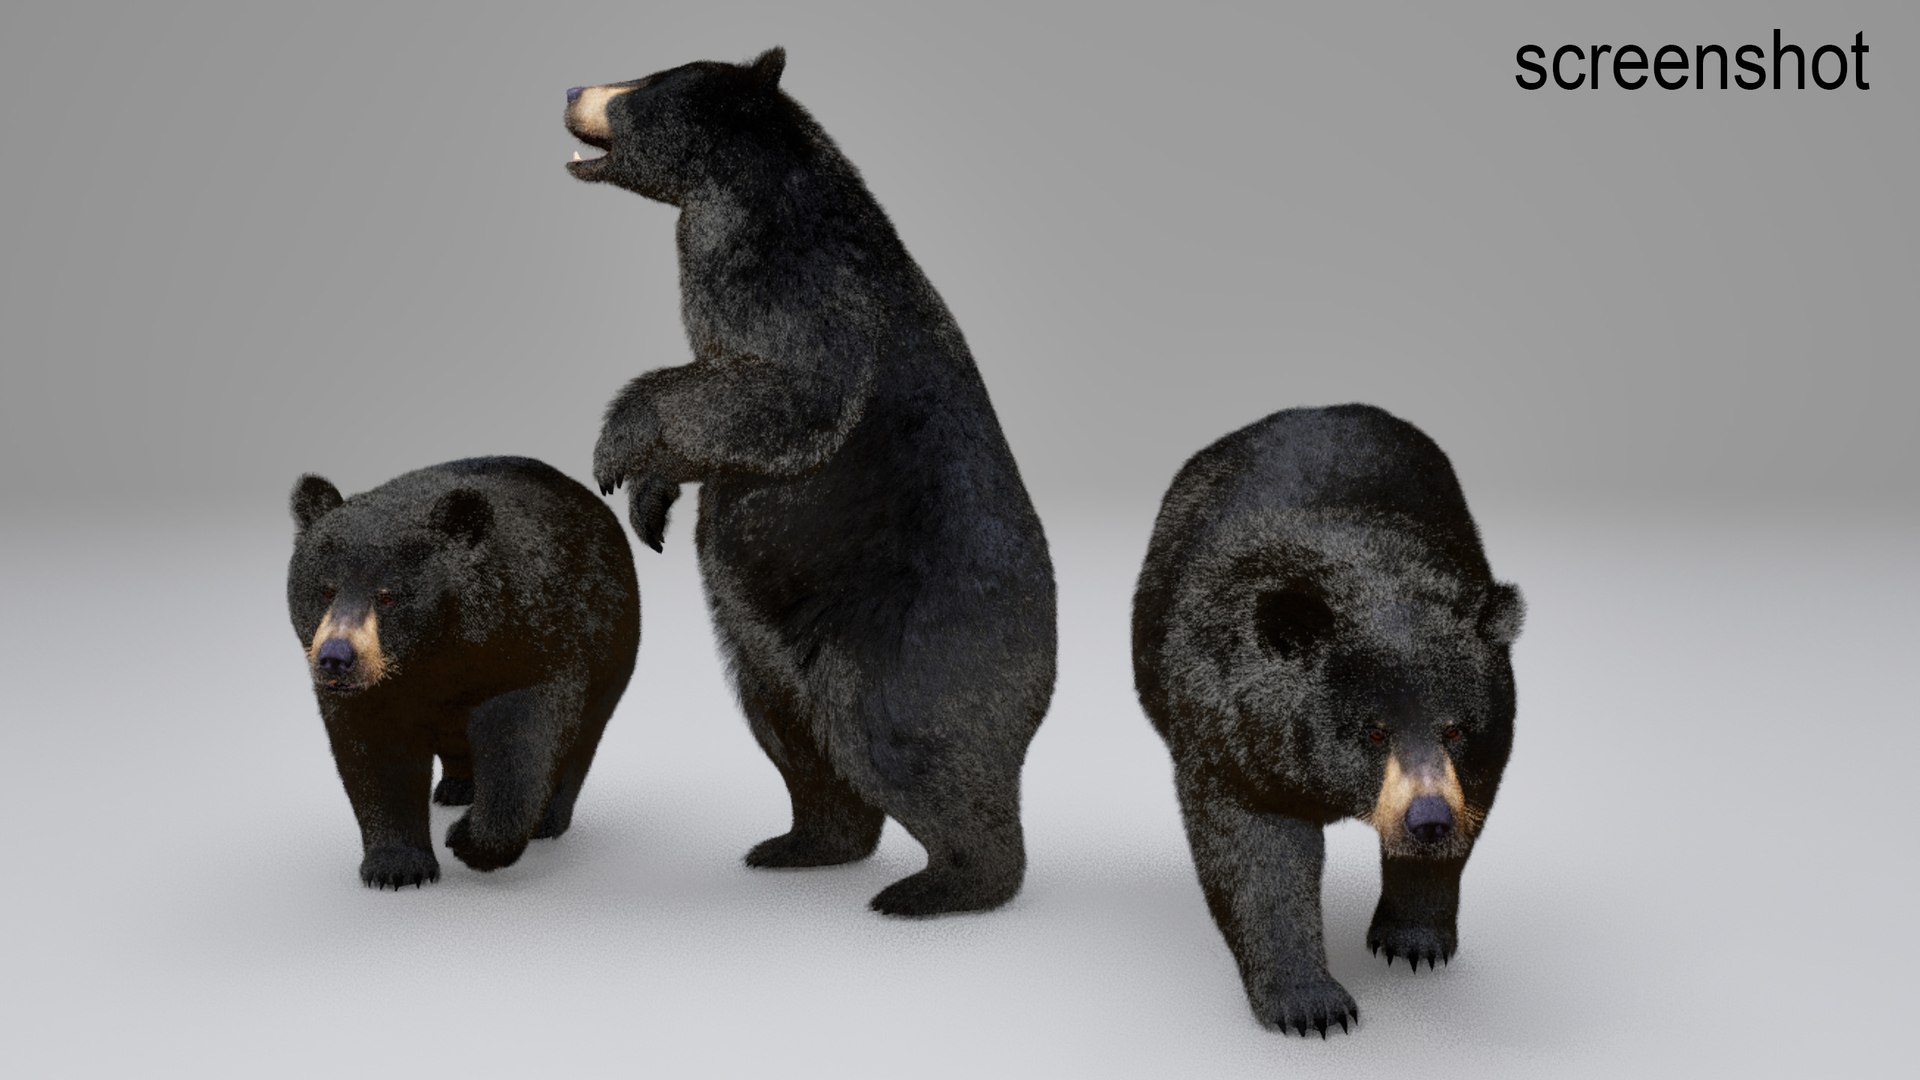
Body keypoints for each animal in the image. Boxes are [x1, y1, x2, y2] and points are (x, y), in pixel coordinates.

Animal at [286, 457, 640, 888]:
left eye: (387, 596)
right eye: (324, 590)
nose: (336, 657)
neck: (436, 653)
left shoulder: (526, 637)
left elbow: (522, 738)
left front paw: (468, 839)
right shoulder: (375, 689)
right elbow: (376, 749)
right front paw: (397, 867)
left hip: (611, 645)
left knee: (582, 737)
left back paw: (546, 820)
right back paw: (456, 786)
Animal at [563, 48, 1057, 917]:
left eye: (637, 87)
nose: (569, 91)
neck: (738, 196)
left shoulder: (805, 285)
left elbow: (788, 392)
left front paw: (618, 445)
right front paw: (651, 503)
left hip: (904, 646)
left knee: (909, 747)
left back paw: (941, 886)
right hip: (764, 656)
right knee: (796, 741)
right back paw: (802, 844)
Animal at [1131, 404, 1524, 1036]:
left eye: (1456, 729)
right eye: (1373, 731)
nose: (1429, 820)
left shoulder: (1484, 759)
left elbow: (1470, 814)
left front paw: (1413, 940)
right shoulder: (1231, 726)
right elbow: (1257, 852)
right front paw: (1311, 1006)